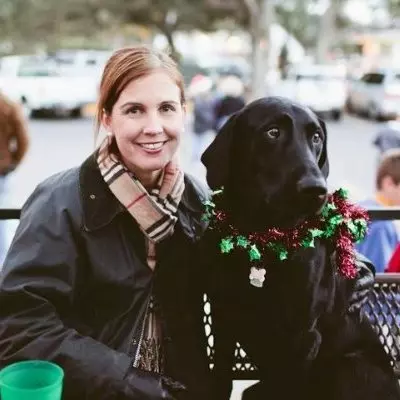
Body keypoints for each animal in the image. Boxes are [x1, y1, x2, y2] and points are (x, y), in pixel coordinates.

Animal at [202, 97, 400, 400]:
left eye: (316, 137)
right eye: (272, 132)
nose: (316, 189)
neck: (260, 237)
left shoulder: (301, 337)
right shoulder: (224, 314)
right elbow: (221, 379)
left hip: (349, 368)